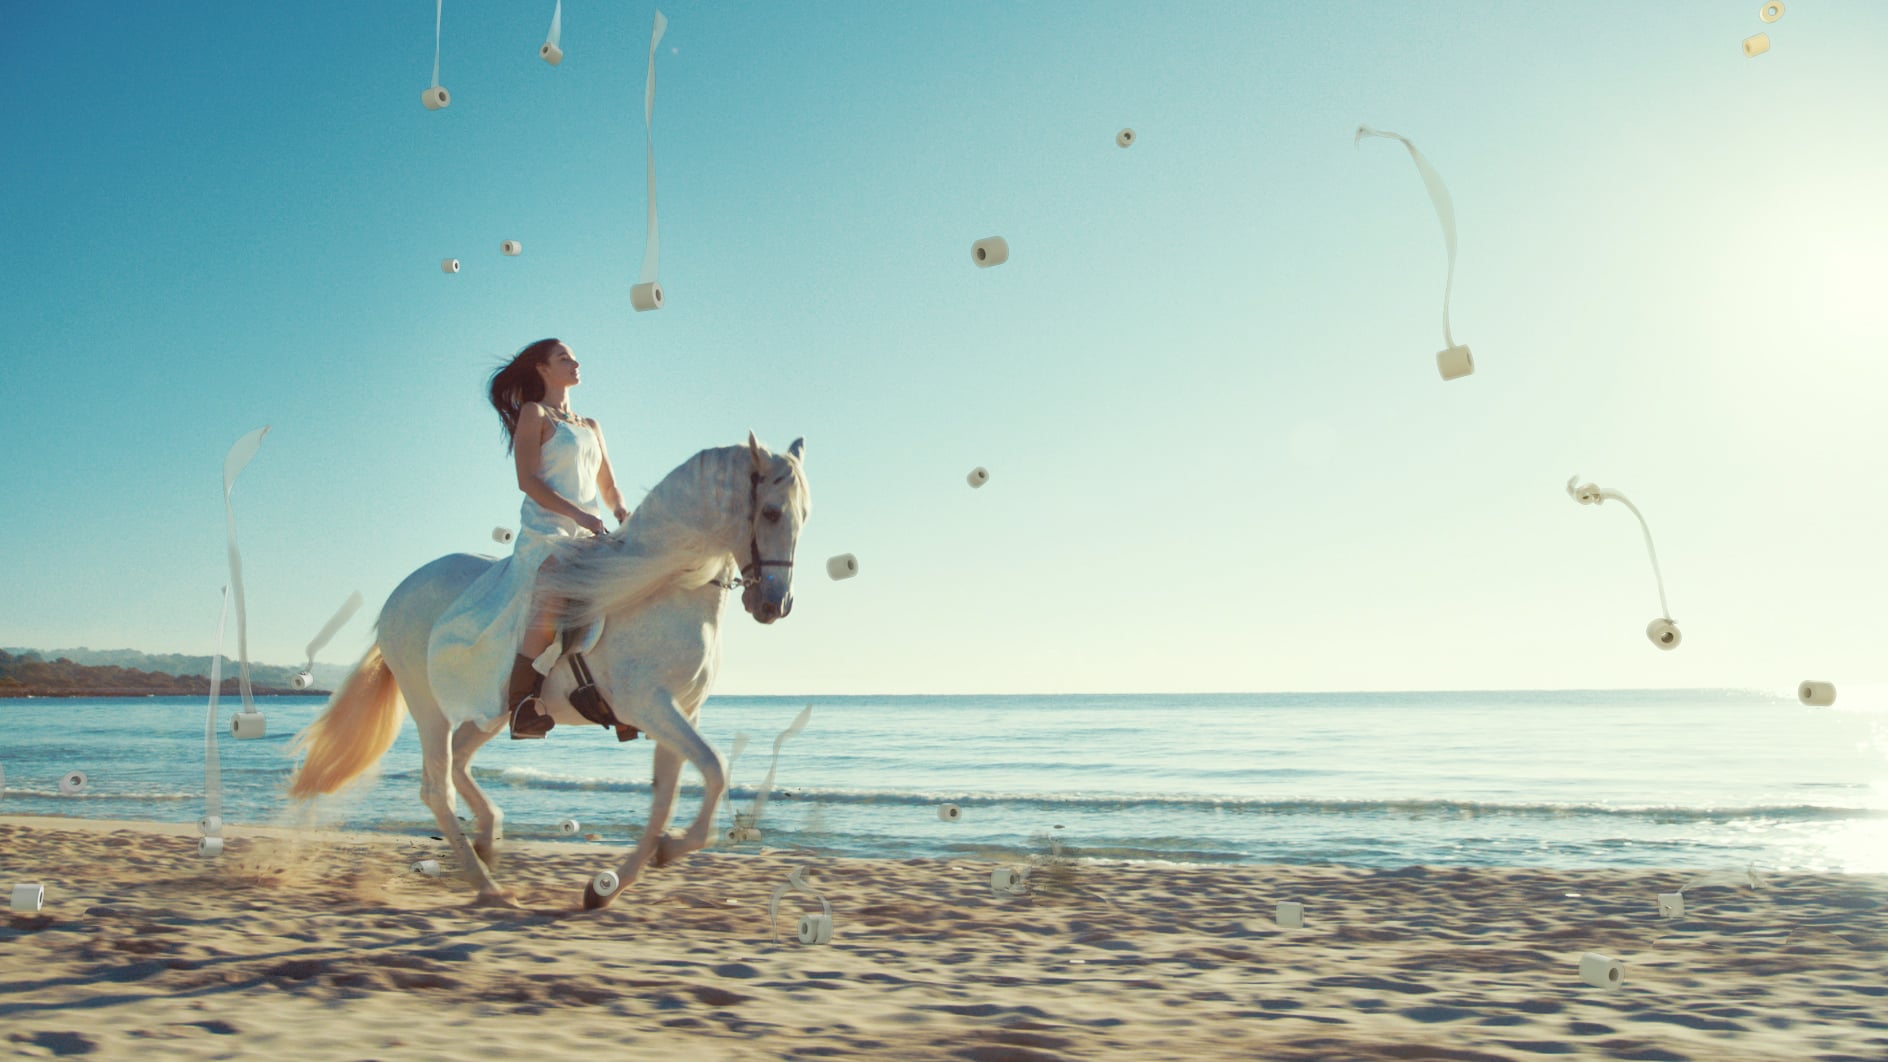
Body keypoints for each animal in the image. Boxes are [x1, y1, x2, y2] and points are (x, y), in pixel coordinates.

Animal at [286, 432, 810, 909]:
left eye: (804, 516)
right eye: (770, 513)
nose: (775, 605)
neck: (665, 584)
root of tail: (400, 593)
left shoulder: (681, 712)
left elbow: (668, 798)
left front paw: (612, 885)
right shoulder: (651, 706)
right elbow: (716, 769)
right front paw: (663, 854)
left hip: (494, 711)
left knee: (459, 761)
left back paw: (489, 840)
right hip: (429, 708)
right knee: (438, 788)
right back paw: (488, 886)